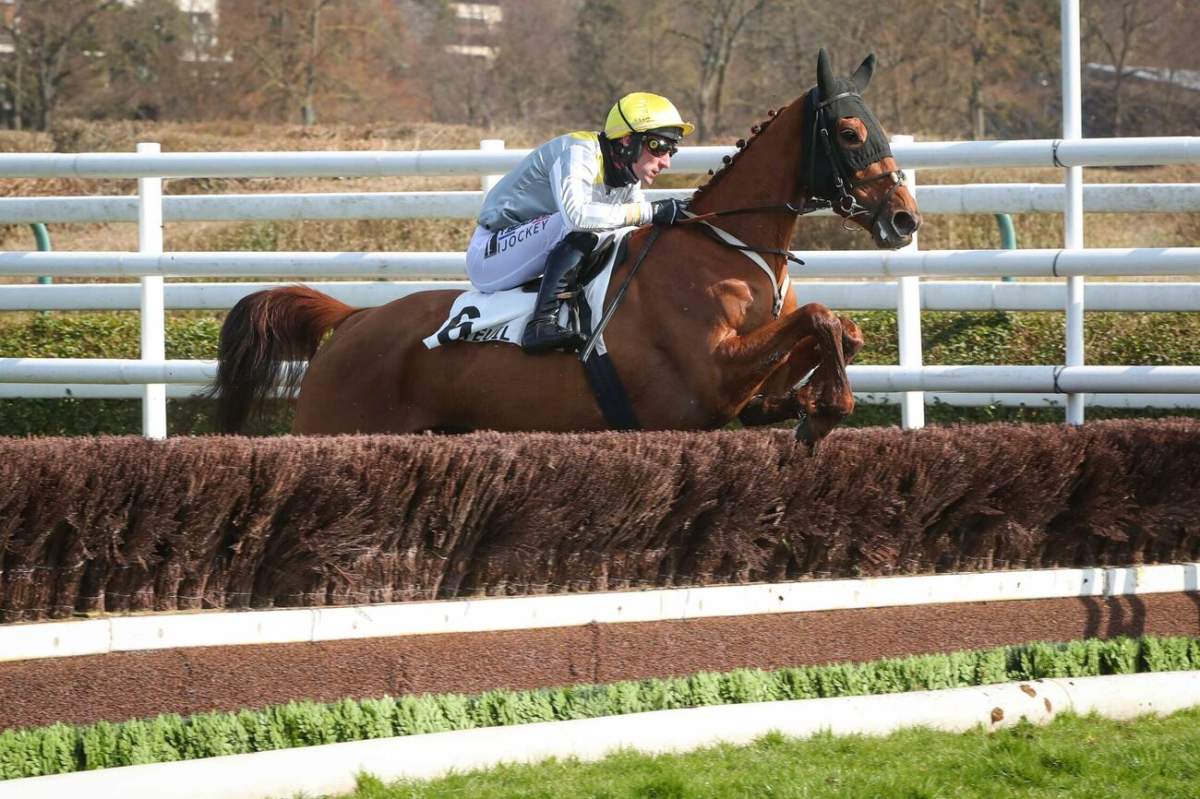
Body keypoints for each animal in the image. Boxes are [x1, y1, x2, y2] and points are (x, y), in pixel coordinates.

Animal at [213, 49, 921, 452]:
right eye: (850, 131)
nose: (903, 217)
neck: (731, 245)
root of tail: (356, 318)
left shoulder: (746, 380)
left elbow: (838, 330)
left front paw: (812, 406)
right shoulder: (711, 374)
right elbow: (821, 318)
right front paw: (826, 411)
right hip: (330, 423)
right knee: (568, 229)